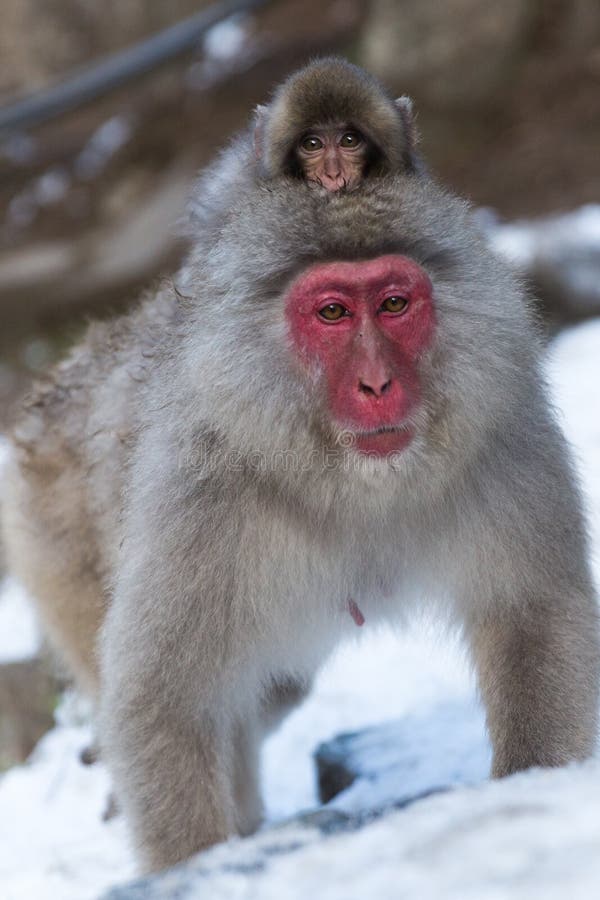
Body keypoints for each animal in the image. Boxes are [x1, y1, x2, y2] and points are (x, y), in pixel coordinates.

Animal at [2, 62, 599, 875]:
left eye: (395, 302)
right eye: (332, 314)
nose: (378, 384)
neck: (349, 479)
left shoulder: (501, 424)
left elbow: (532, 619)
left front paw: (528, 783)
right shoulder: (198, 488)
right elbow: (163, 697)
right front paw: (199, 865)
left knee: (270, 689)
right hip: (51, 537)